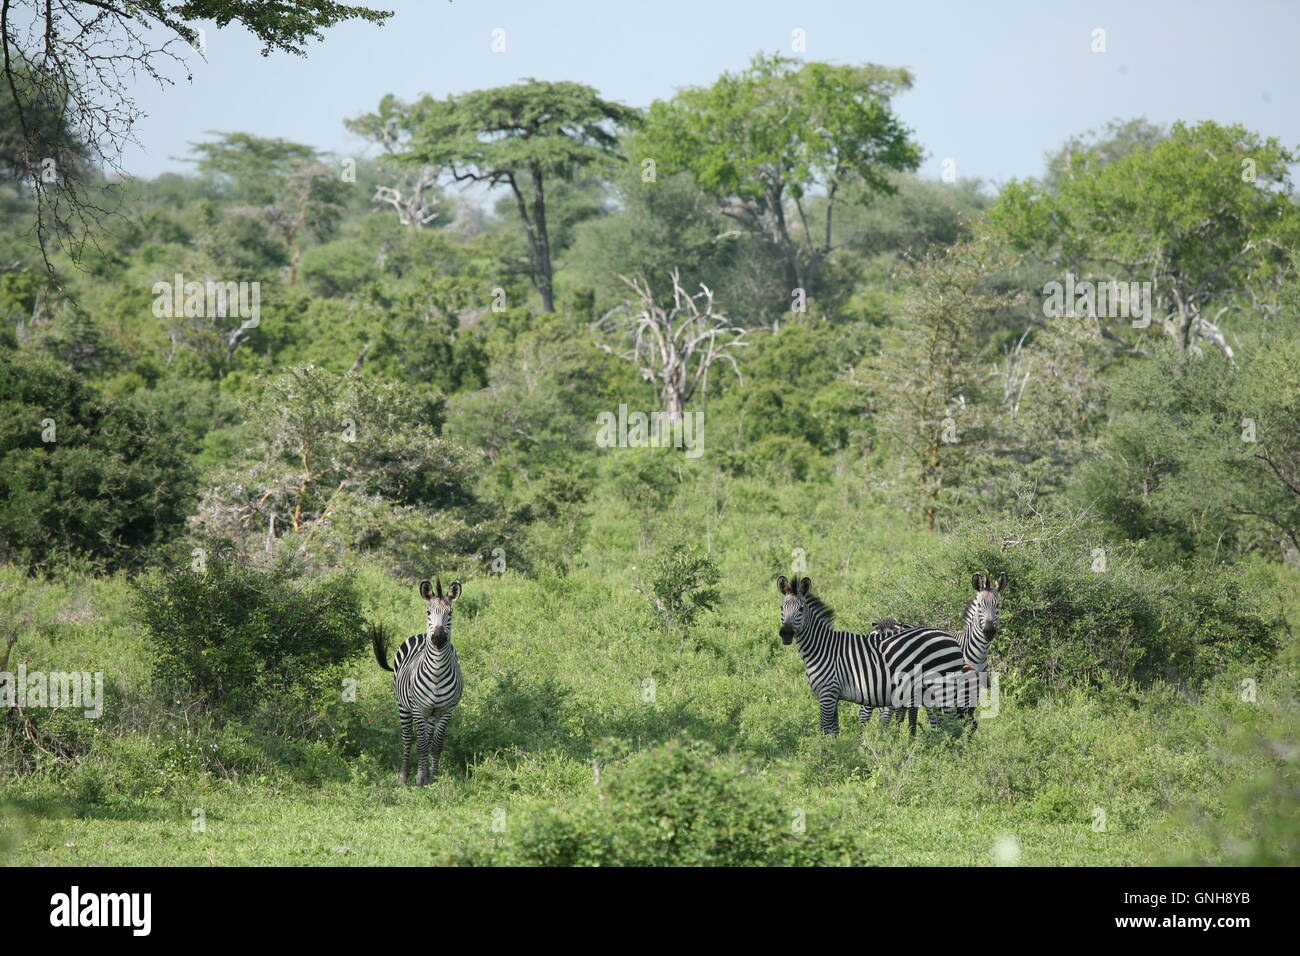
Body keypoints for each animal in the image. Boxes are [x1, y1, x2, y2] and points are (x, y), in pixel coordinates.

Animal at [372, 576, 465, 786]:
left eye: (451, 613)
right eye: (428, 612)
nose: (438, 638)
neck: (437, 671)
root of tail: (420, 635)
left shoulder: (446, 710)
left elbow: (436, 743)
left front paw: (434, 776)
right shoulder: (418, 708)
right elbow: (421, 743)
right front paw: (421, 777)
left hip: (431, 712)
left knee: (429, 738)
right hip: (404, 706)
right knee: (409, 738)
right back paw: (403, 776)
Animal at [777, 576, 967, 737]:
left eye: (801, 609)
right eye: (781, 608)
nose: (786, 633)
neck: (823, 648)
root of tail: (950, 637)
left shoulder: (828, 693)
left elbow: (824, 729)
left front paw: (824, 755)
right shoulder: (833, 695)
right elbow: (834, 731)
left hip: (943, 686)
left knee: (950, 719)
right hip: (929, 690)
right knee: (938, 720)